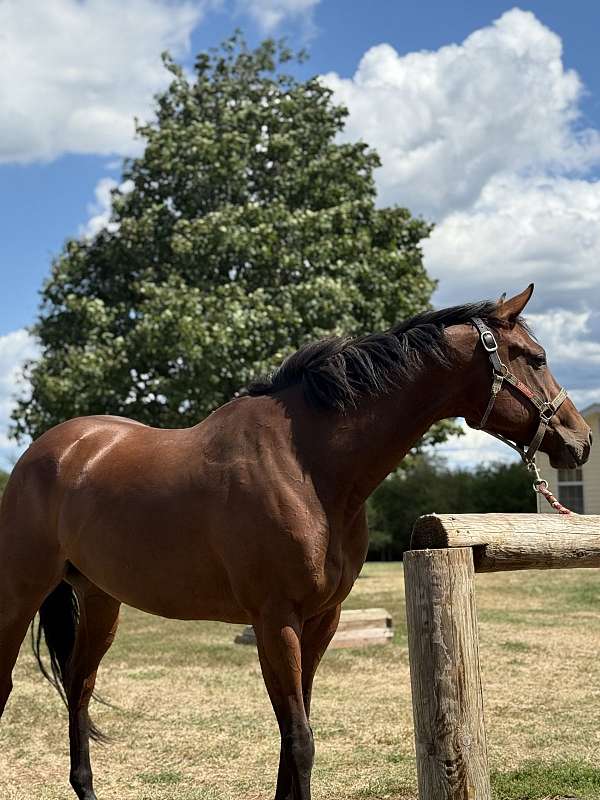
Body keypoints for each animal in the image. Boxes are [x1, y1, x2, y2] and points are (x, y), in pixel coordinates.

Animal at [0, 284, 592, 800]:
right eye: (533, 357)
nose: (580, 440)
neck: (306, 465)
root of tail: (49, 451)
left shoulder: (322, 619)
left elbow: (294, 733)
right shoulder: (275, 619)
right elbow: (301, 740)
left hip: (101, 600)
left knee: (79, 687)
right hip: (21, 596)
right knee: (7, 686)